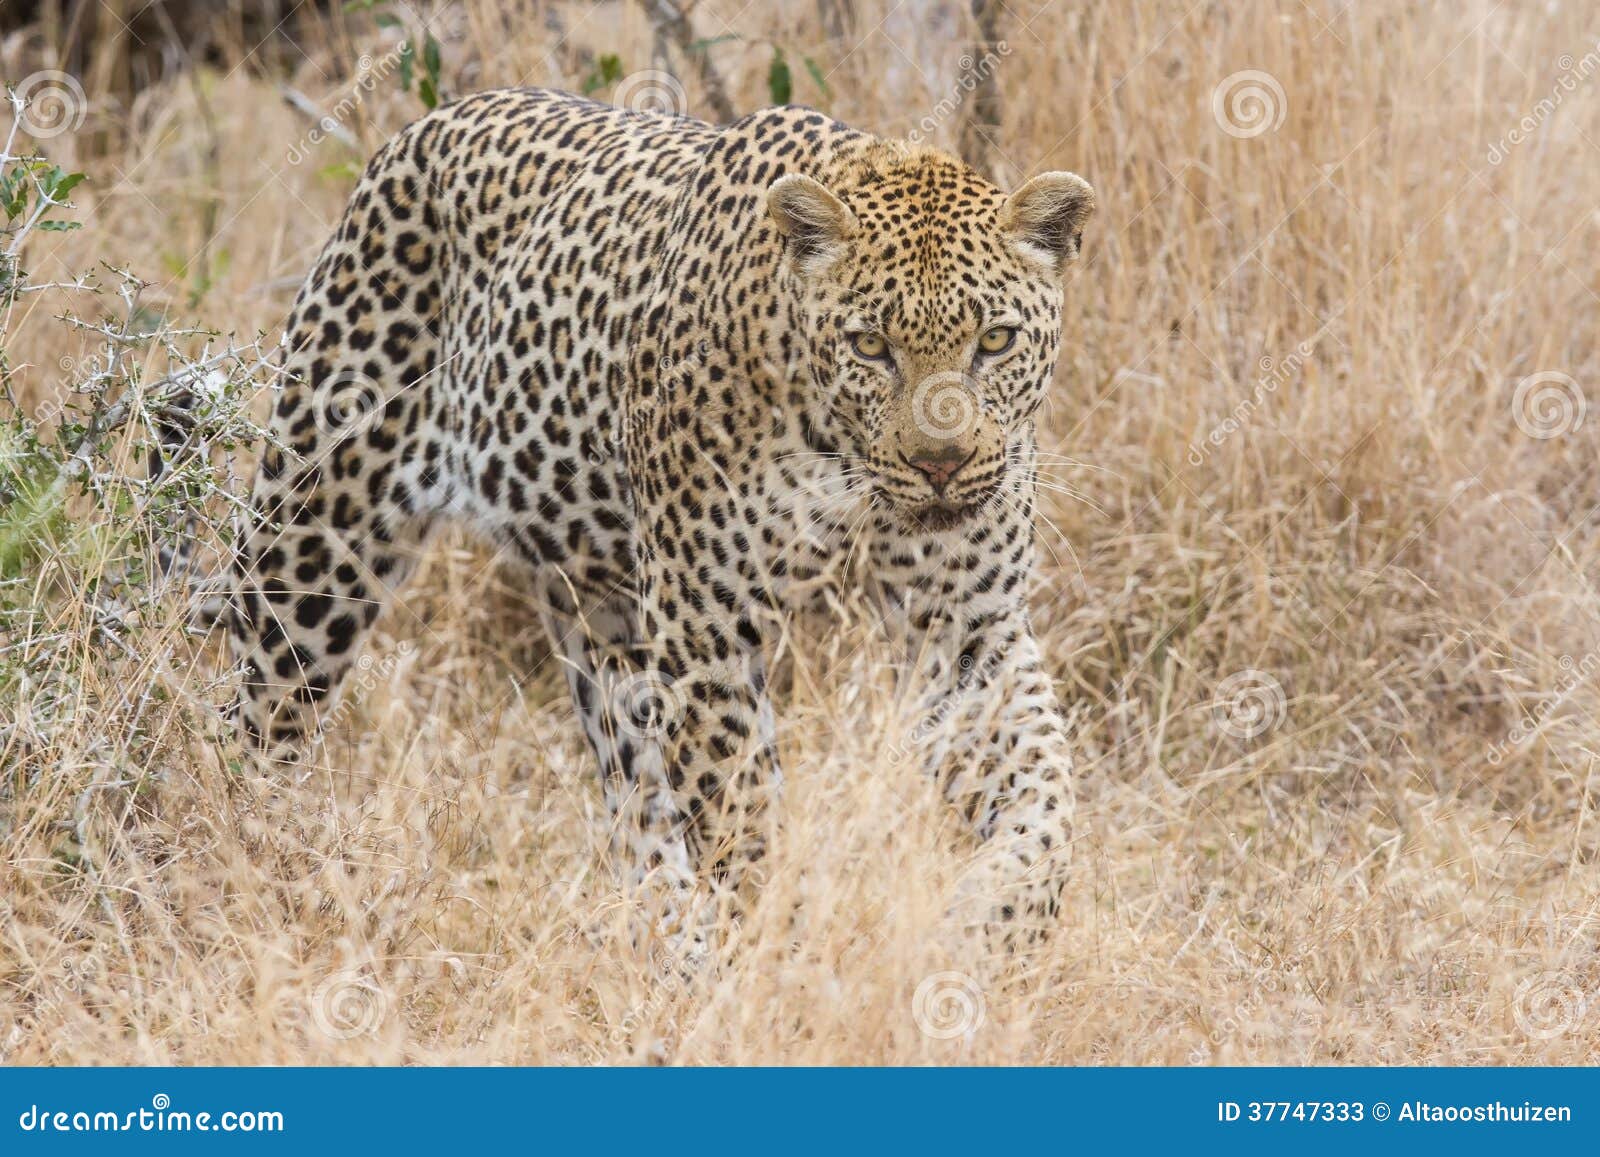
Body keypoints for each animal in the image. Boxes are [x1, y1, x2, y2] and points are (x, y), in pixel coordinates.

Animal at [226, 86, 1096, 951]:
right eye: (871, 345)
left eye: (995, 340)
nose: (939, 464)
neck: (836, 452)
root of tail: (428, 124)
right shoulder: (706, 635)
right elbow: (742, 822)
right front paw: (776, 954)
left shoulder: (967, 627)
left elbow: (1045, 801)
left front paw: (990, 924)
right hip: (315, 545)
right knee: (255, 725)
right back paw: (250, 870)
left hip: (599, 614)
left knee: (635, 803)